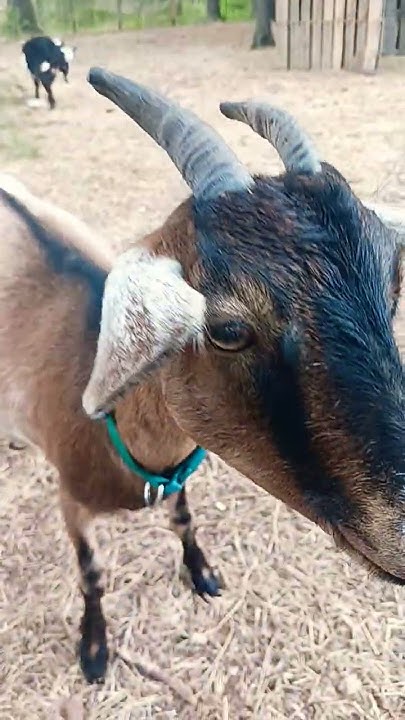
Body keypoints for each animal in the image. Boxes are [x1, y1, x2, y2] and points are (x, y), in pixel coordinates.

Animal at [0, 67, 404, 685]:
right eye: (227, 329)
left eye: (392, 281)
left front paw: (202, 573)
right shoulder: (70, 501)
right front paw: (94, 649)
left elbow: (185, 520)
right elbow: (91, 572)